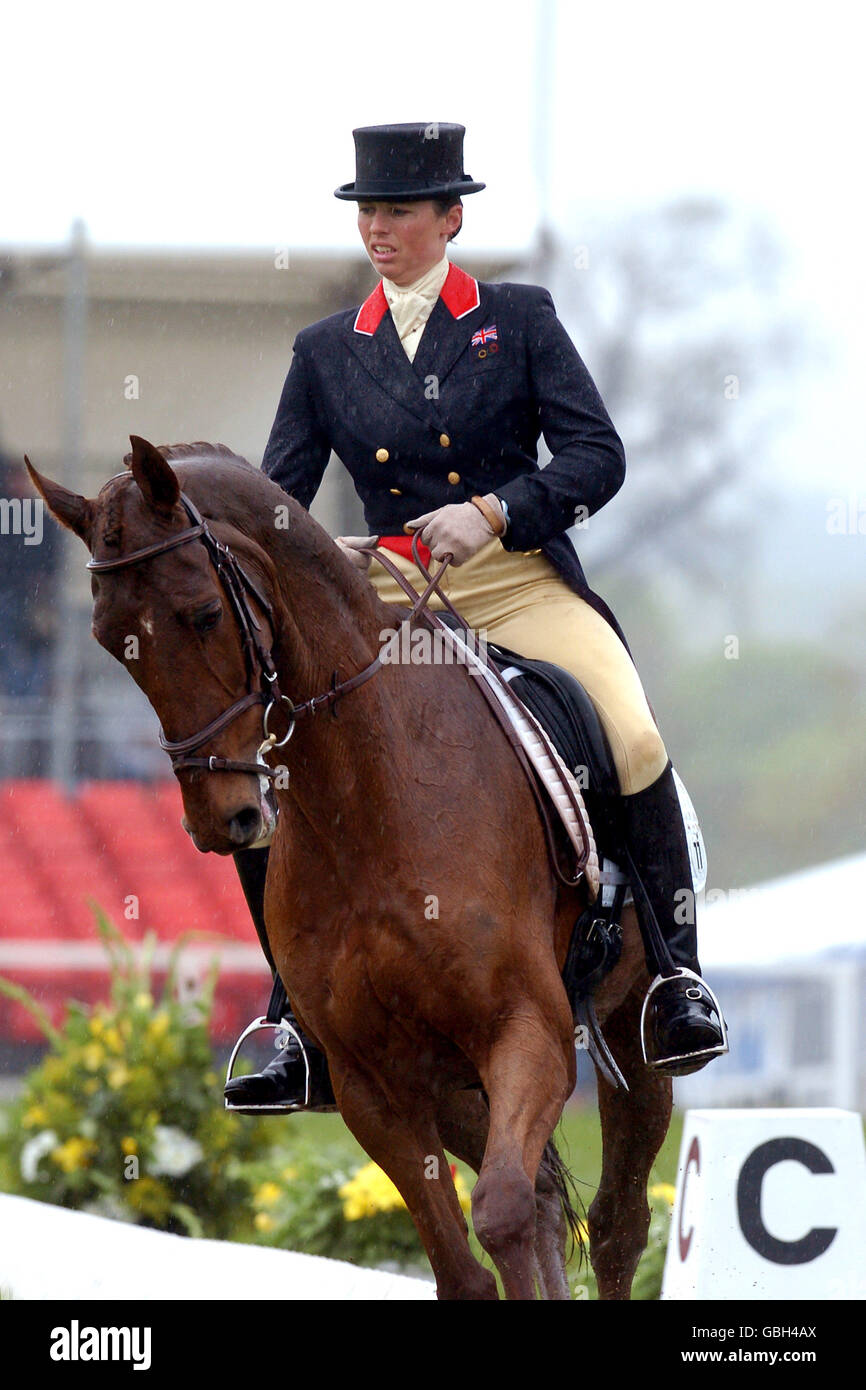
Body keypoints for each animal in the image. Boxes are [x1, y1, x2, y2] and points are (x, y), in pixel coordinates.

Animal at [27, 436, 673, 1300]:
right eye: (108, 638)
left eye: (203, 613)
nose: (223, 817)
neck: (373, 797)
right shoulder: (373, 1081)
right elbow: (464, 1263)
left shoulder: (526, 1032)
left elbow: (501, 1212)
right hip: (452, 1081)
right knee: (542, 1198)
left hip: (631, 1032)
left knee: (613, 1224)